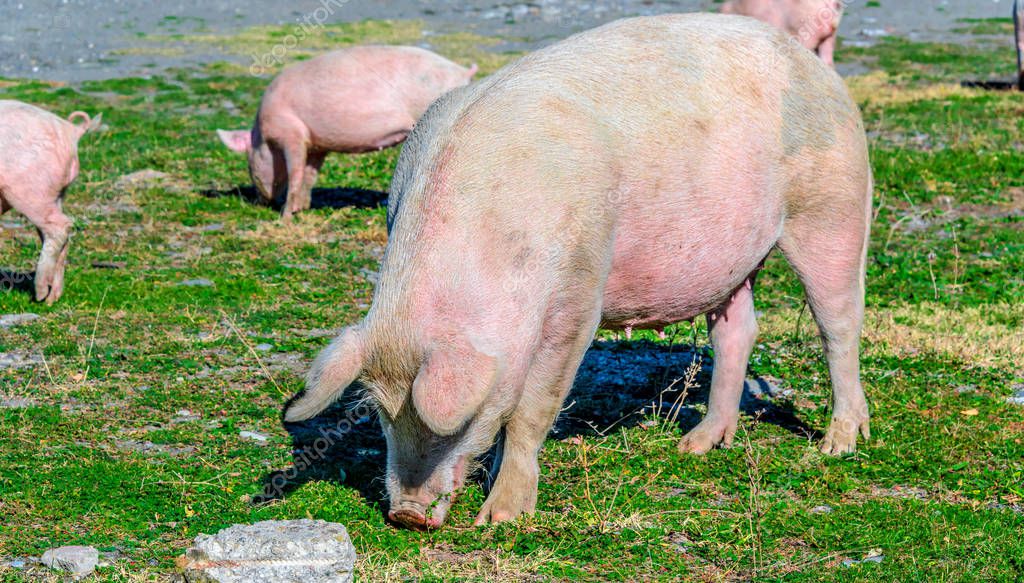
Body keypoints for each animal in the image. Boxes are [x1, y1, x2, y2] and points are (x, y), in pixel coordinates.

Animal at [0, 100, 102, 304]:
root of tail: (70, 130)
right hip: (56, 195)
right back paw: (51, 298)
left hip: (30, 190)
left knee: (61, 226)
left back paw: (39, 295)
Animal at [217, 45, 478, 220]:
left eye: (249, 165)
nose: (260, 202)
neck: (263, 136)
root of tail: (463, 72)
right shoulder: (317, 145)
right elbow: (310, 175)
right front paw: (303, 207)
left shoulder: (291, 133)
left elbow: (296, 172)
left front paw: (285, 217)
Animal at [283, 13, 872, 529]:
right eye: (383, 414)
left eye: (463, 420)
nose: (405, 516)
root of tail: (814, 65)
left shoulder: (580, 287)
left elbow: (532, 406)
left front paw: (500, 519)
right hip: (732, 262)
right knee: (738, 332)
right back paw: (696, 445)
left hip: (833, 205)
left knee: (840, 325)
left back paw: (838, 444)